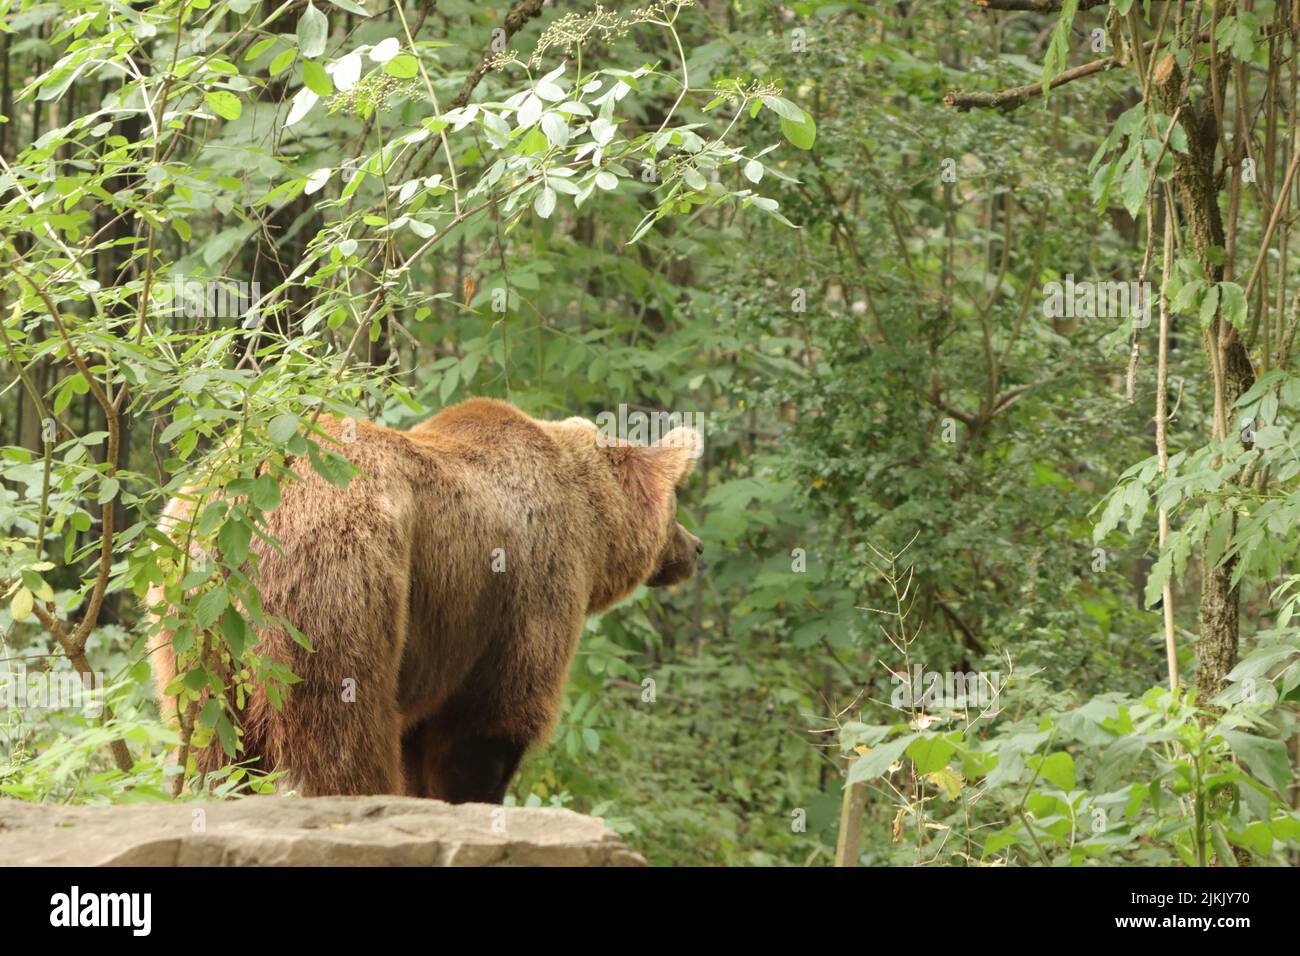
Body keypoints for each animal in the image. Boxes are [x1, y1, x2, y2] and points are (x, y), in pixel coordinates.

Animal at [146, 398, 702, 802]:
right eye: (678, 506)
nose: (695, 548)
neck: (593, 524)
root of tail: (236, 508)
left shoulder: (445, 643)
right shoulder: (529, 598)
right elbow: (489, 726)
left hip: (193, 622)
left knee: (212, 744)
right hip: (337, 589)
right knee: (342, 736)